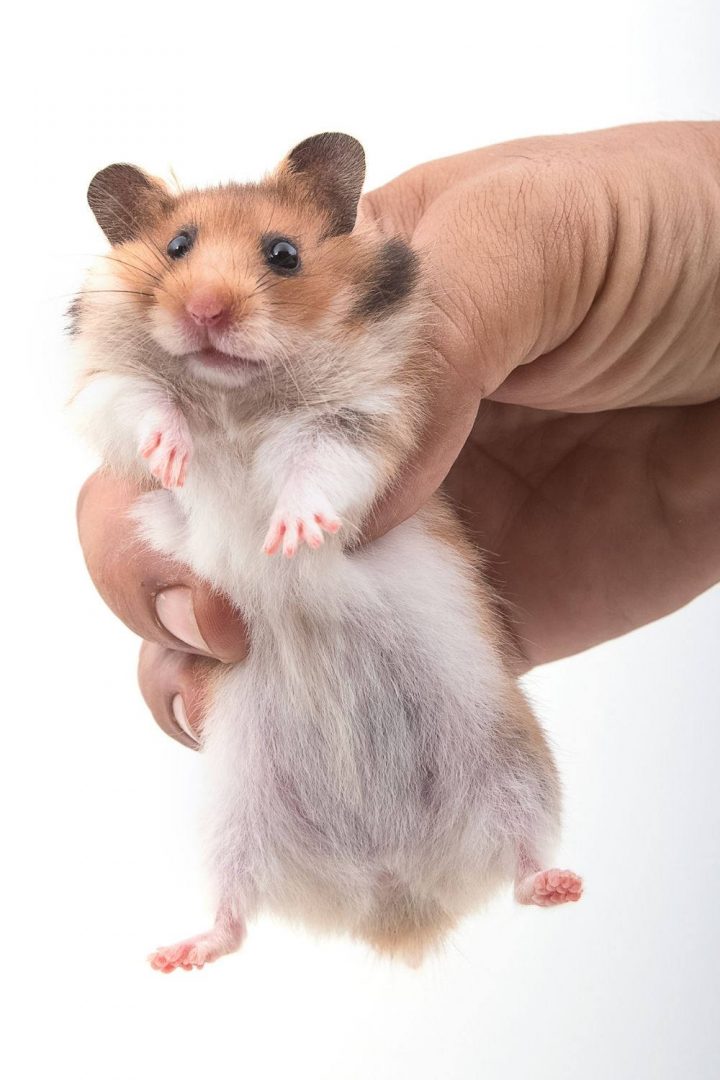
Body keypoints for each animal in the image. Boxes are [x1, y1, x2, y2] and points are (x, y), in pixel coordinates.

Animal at [70, 133, 582, 971]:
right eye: (177, 247)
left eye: (283, 254)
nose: (205, 311)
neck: (239, 396)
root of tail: (394, 892)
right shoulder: (107, 391)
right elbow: (146, 405)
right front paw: (173, 455)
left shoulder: (361, 422)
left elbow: (315, 466)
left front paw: (291, 536)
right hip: (234, 814)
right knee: (235, 915)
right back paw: (178, 955)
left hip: (513, 765)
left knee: (523, 860)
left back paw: (562, 885)